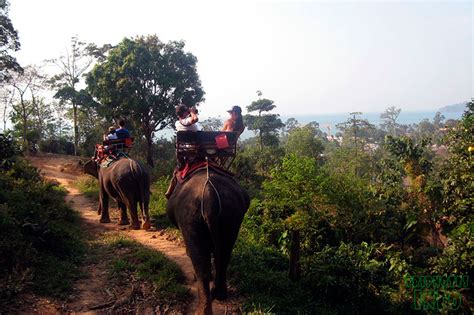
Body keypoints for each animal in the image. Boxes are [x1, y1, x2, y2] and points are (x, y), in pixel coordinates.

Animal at [167, 169, 250, 314]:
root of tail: (210, 197)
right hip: (232, 216)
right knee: (223, 256)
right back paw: (219, 295)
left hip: (190, 218)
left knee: (200, 261)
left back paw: (203, 309)